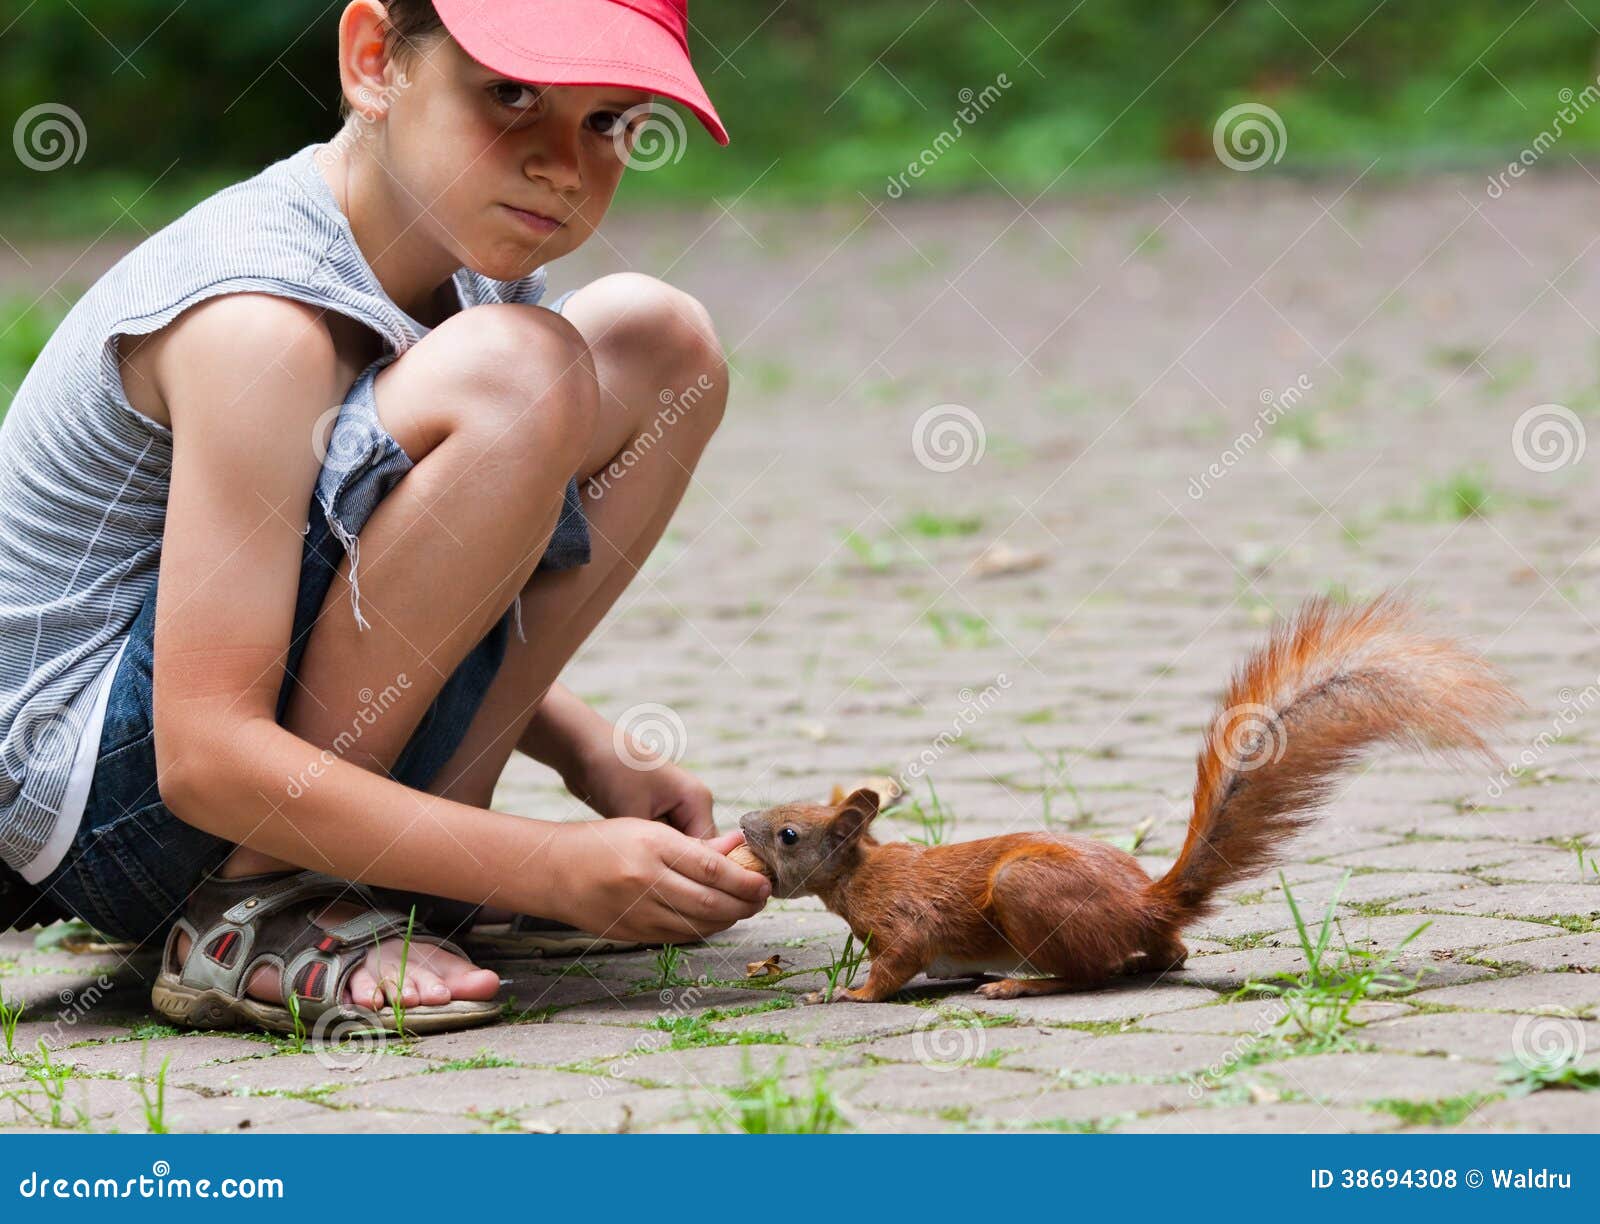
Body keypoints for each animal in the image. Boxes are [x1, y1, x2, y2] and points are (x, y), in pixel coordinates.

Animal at [735, 593, 1519, 1002]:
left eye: (790, 834)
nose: (741, 822)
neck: (861, 875)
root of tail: (1146, 903)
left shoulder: (904, 919)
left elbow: (898, 959)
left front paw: (849, 994)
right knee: (1168, 952)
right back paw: (1146, 957)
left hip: (1027, 894)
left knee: (1086, 975)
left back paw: (1020, 986)